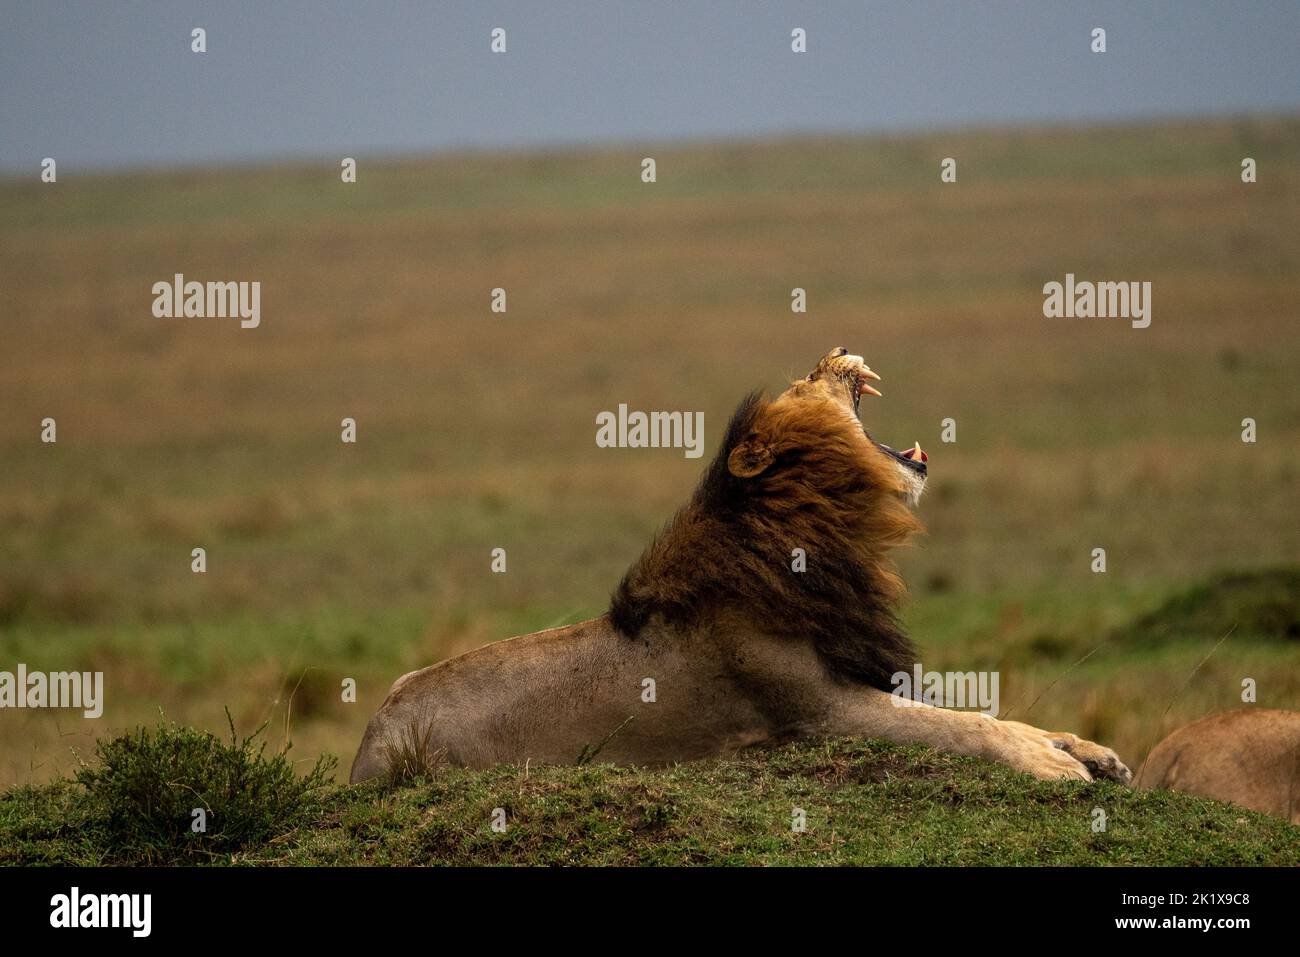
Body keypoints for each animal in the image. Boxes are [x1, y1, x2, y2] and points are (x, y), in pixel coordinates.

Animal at [350, 347, 1131, 785]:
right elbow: (965, 728)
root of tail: (367, 743)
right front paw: (1056, 765)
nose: (837, 347)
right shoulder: (821, 711)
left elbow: (986, 712)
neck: (822, 529)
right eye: (808, 377)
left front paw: (1089, 749)